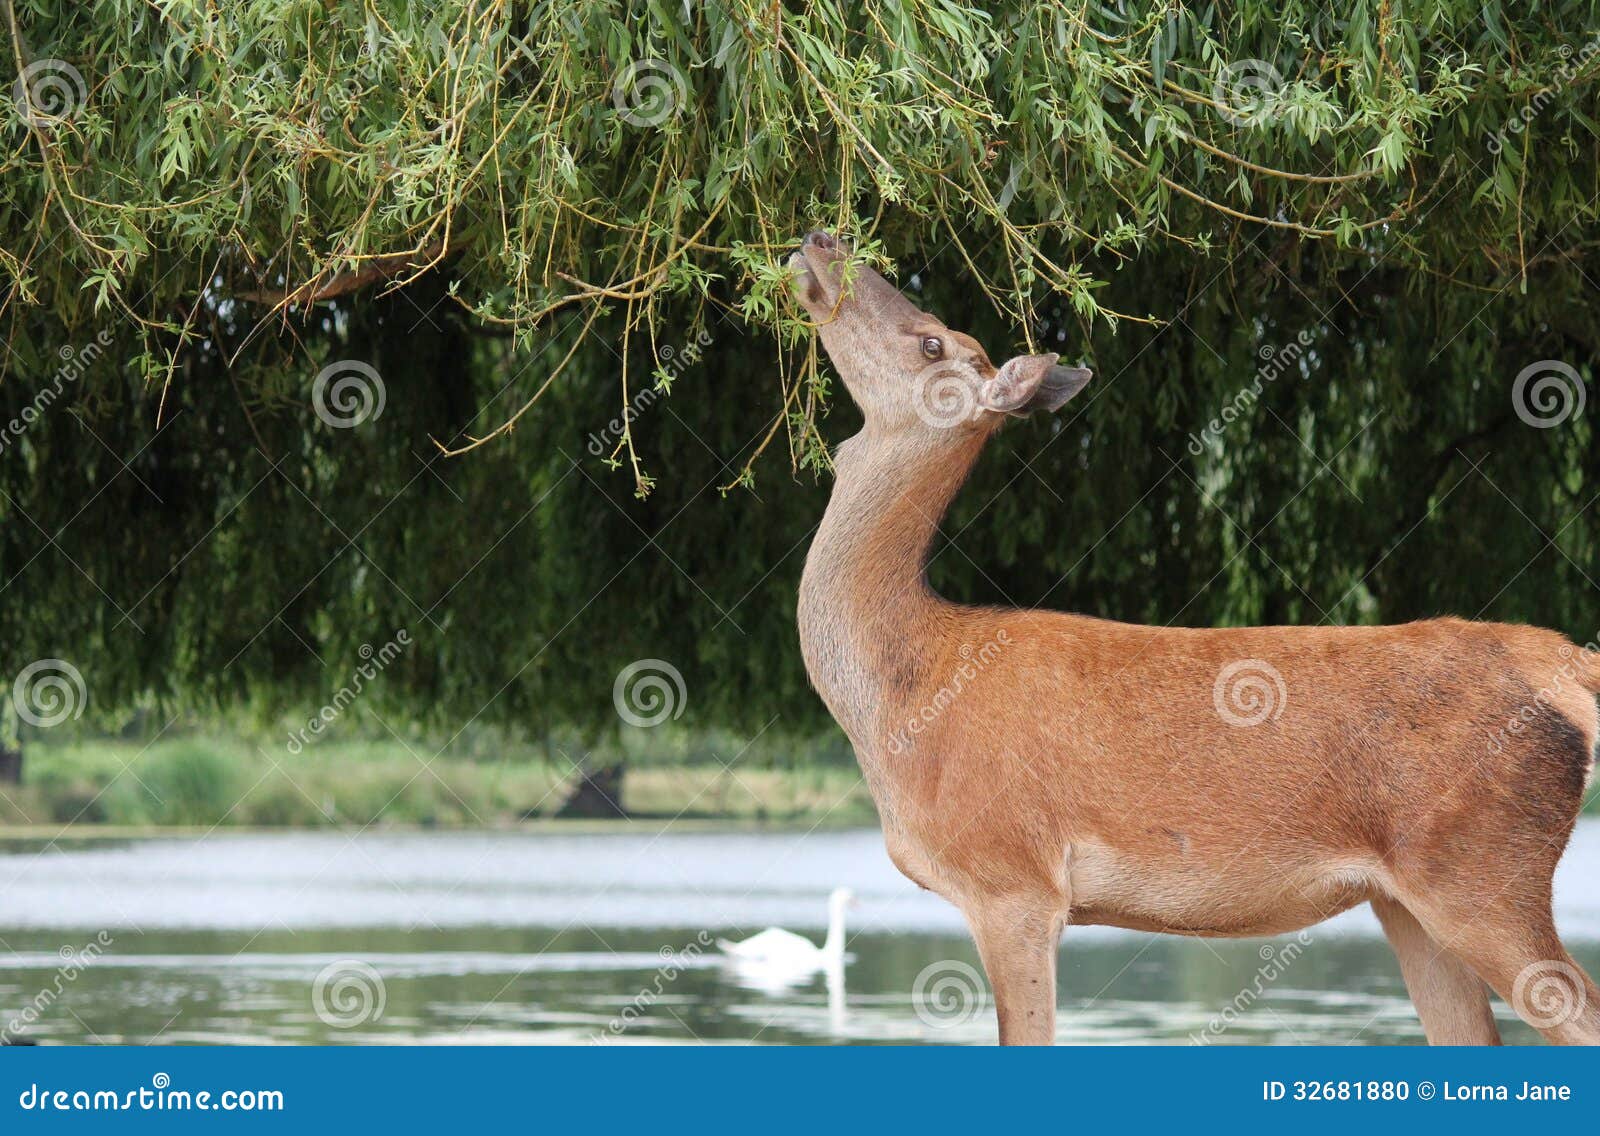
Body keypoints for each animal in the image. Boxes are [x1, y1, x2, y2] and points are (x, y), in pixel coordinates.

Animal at [789, 229, 1600, 1046]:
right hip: (1410, 900)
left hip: (1482, 869)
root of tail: (1564, 662)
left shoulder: (1011, 878)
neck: (909, 699)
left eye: (932, 342)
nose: (822, 240)